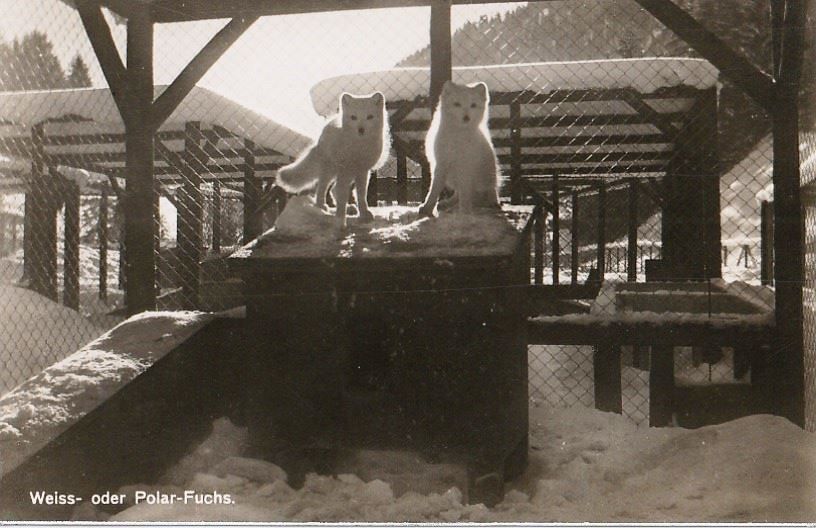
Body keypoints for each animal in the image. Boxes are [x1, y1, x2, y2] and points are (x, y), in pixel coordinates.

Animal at [276, 91, 390, 230]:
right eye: (353, 117)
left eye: (370, 117)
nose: (361, 129)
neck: (358, 147)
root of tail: (320, 138)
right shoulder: (345, 170)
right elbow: (341, 196)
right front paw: (340, 220)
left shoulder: (363, 171)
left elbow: (361, 196)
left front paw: (363, 214)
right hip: (331, 171)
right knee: (322, 187)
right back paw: (321, 206)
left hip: (347, 173)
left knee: (334, 189)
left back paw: (349, 208)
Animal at [419, 80, 500, 217]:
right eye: (457, 104)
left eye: (473, 105)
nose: (466, 117)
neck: (457, 136)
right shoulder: (441, 164)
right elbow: (434, 190)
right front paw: (427, 208)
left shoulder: (466, 167)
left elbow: (465, 194)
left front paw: (464, 212)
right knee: (458, 194)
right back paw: (448, 204)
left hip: (487, 179)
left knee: (479, 196)